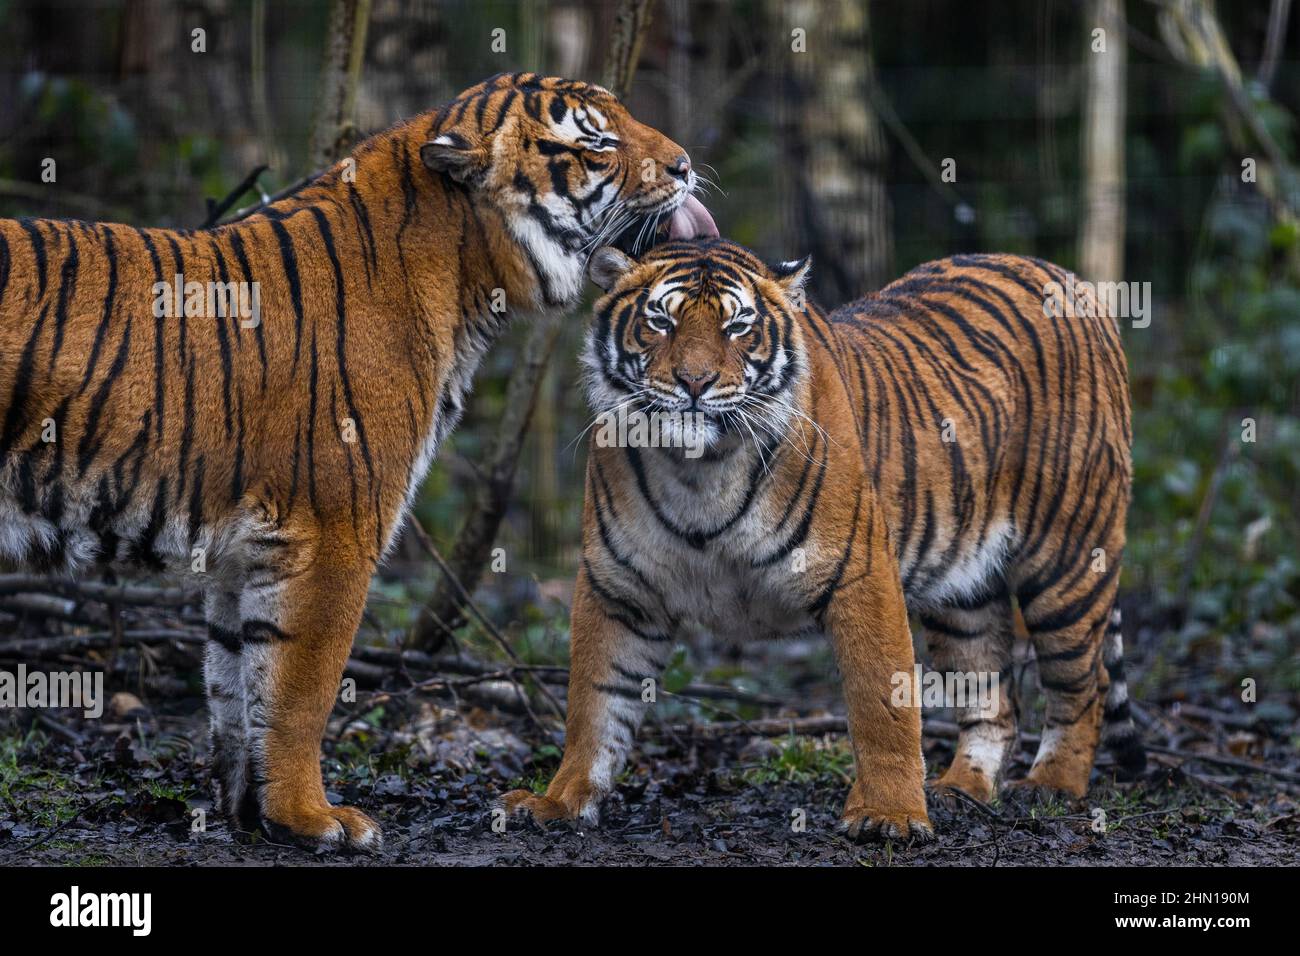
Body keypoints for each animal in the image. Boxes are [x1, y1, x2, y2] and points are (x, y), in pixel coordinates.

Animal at [0, 72, 717, 851]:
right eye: (596, 143)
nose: (685, 165)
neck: (466, 276)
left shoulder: (239, 551)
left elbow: (235, 684)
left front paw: (248, 814)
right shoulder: (335, 528)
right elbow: (301, 689)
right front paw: (312, 817)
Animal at [503, 239, 1145, 840]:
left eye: (738, 325)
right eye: (660, 321)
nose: (694, 382)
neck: (699, 470)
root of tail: (1065, 276)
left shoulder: (861, 573)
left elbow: (882, 703)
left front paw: (890, 814)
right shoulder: (618, 588)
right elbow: (594, 704)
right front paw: (558, 801)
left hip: (1065, 559)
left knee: (1082, 685)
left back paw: (1052, 785)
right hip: (962, 588)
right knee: (994, 697)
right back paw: (962, 788)